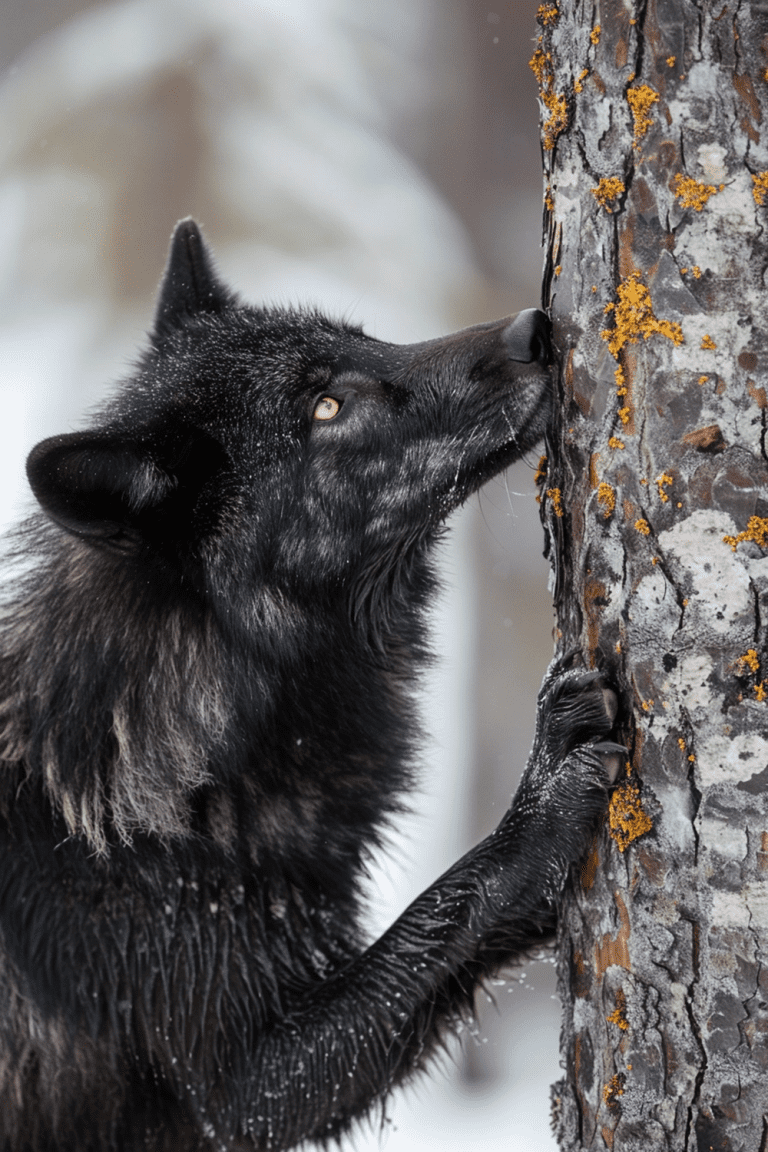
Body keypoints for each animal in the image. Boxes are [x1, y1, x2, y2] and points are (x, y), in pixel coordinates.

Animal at [0, 219, 620, 1151]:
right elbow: (449, 906)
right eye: (325, 409)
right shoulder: (247, 1090)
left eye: (365, 338)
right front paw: (543, 799)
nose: (532, 328)